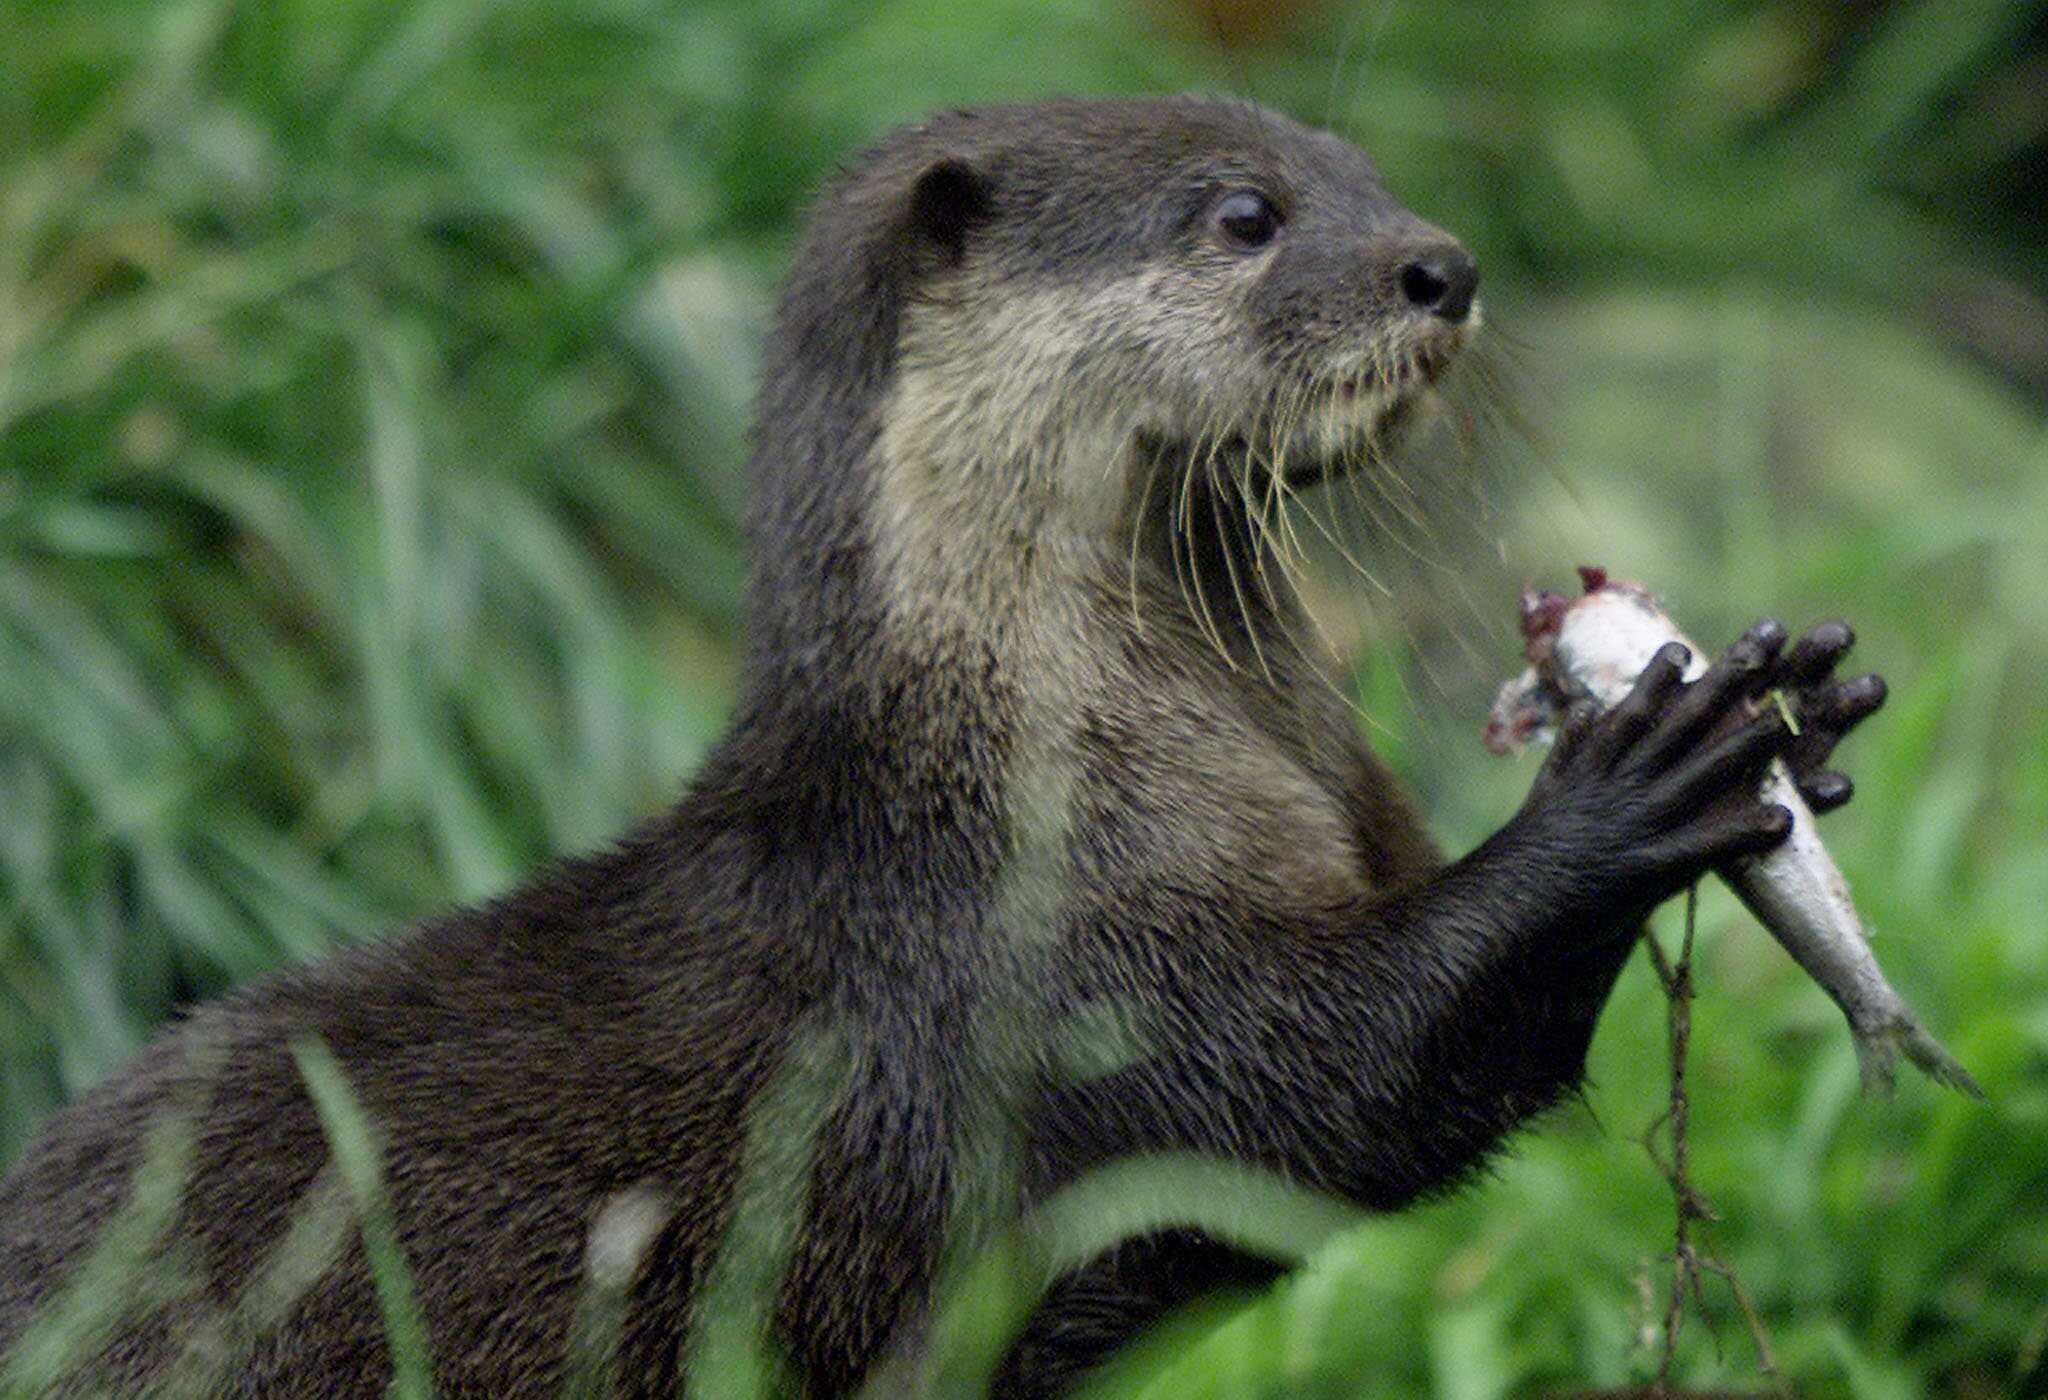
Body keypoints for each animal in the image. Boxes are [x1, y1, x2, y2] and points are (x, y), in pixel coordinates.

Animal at [0, 96, 1883, 1397]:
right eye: (1243, 214)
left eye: (1355, 166)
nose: (1445, 266)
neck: (1023, 772)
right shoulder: (1056, 976)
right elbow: (1341, 1083)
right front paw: (1626, 786)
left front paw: (1796, 705)